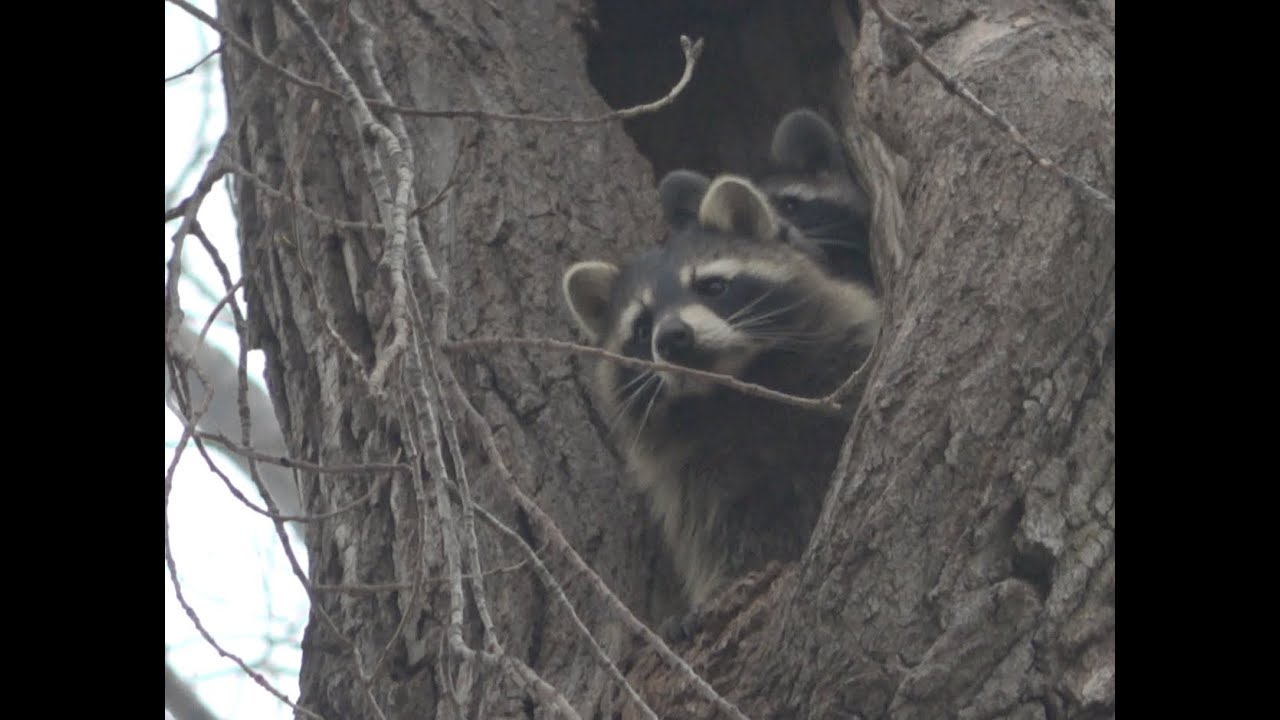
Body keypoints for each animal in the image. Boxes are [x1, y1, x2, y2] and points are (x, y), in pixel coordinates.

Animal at [562, 174, 881, 635]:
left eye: (711, 287)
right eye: (641, 327)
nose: (673, 337)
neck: (737, 391)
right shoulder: (696, 475)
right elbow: (725, 537)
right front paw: (721, 590)